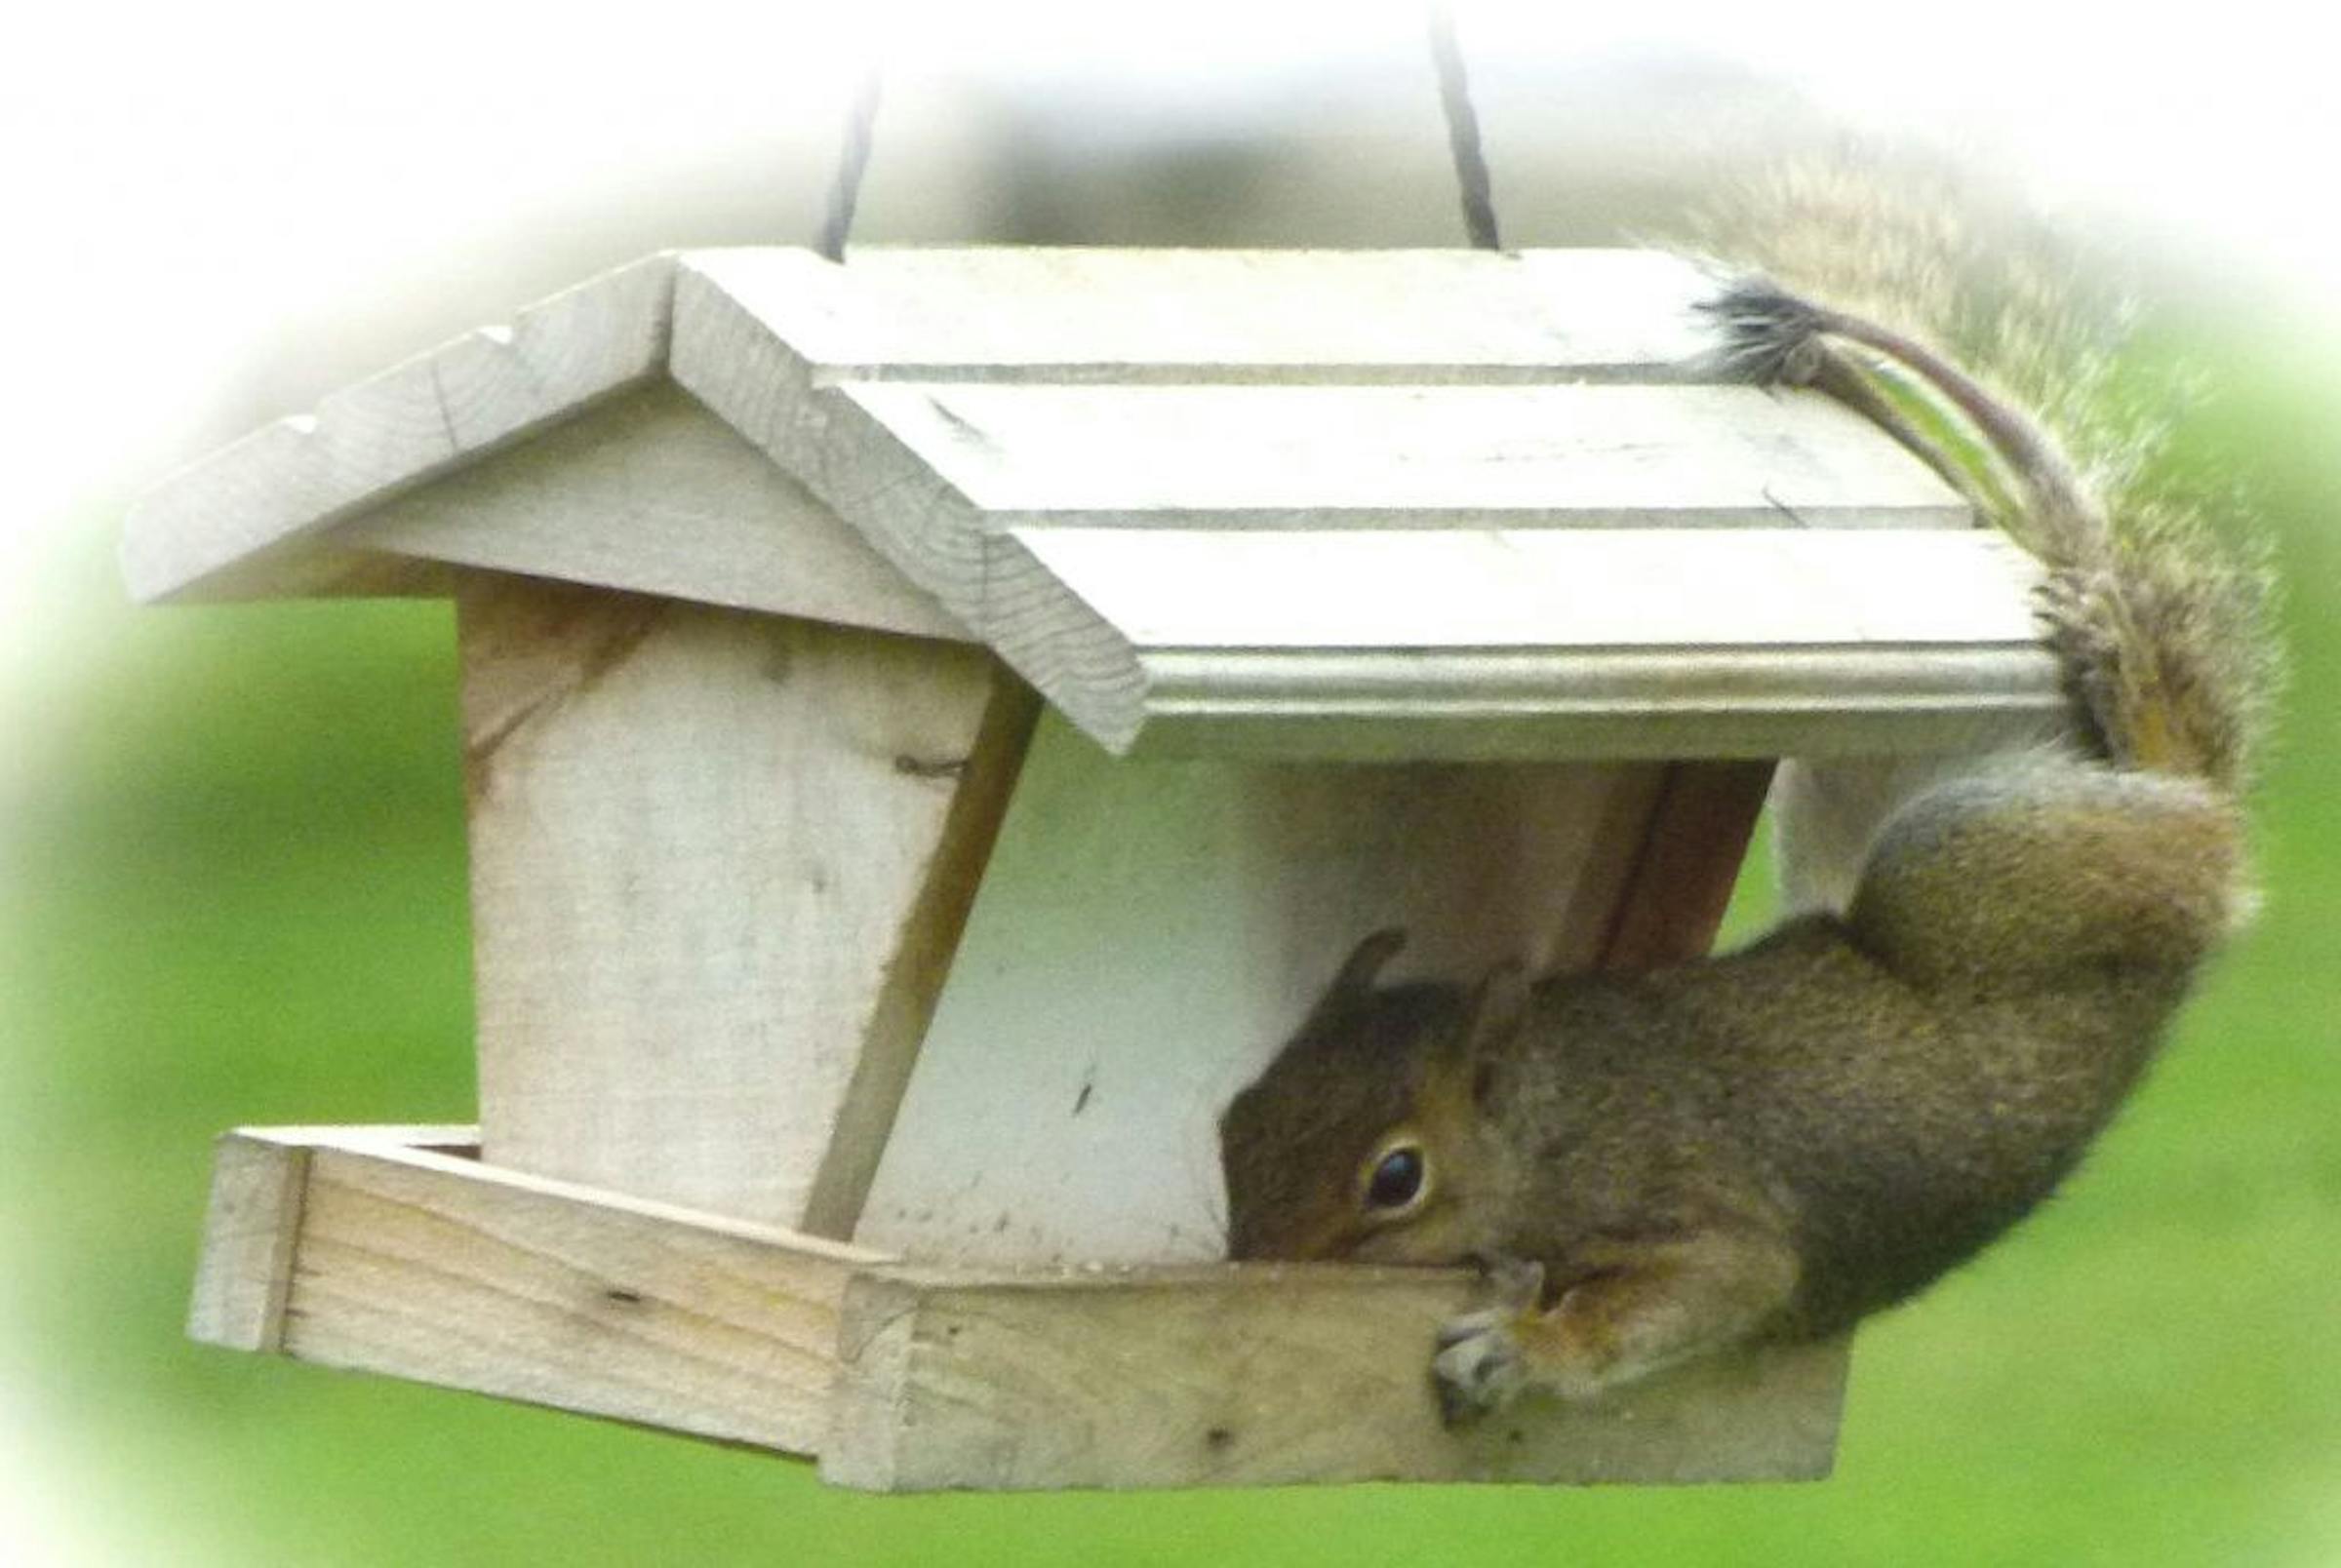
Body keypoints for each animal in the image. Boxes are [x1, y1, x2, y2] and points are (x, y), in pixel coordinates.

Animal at [1217, 228, 2280, 1422]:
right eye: (1236, 1116)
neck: (1552, 1110)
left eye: (1395, 1178)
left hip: (1977, 864)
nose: (1250, 1260)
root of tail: (2212, 862)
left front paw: (1524, 1349)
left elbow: (1714, 1286)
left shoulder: (1696, 1202)